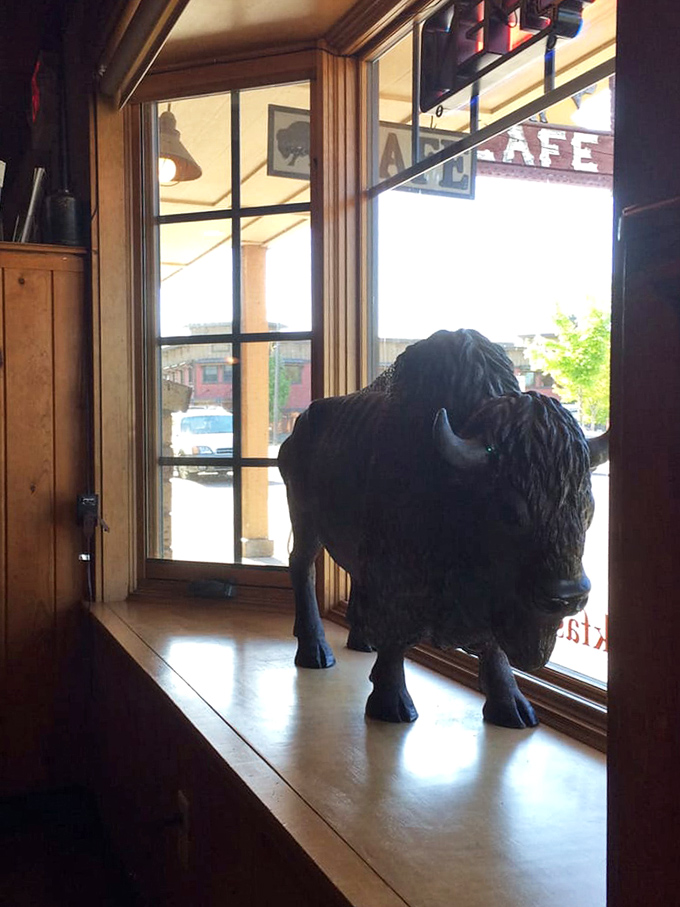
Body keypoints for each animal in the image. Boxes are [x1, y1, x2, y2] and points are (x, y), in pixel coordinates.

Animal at [278, 329, 609, 728]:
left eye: (589, 508)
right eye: (509, 511)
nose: (567, 595)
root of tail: (298, 428)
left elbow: (494, 648)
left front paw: (512, 708)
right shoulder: (397, 577)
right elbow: (396, 639)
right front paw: (392, 704)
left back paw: (362, 639)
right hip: (305, 519)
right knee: (302, 567)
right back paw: (315, 651)